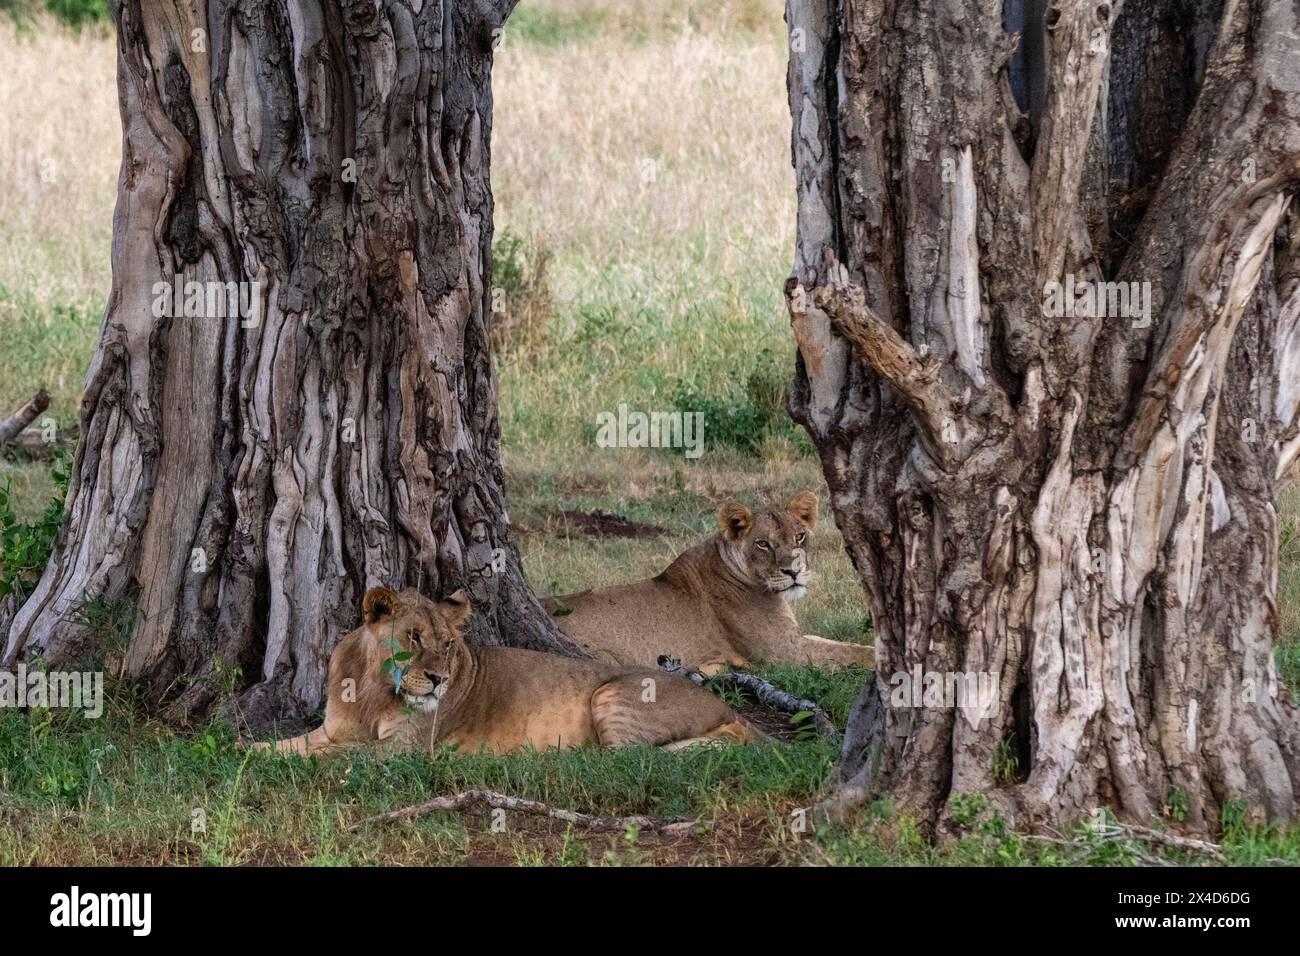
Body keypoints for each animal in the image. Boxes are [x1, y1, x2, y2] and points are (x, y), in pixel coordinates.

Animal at [253, 586, 759, 756]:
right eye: (414, 638)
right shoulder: (330, 730)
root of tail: (723, 703)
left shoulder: (401, 752)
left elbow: (330, 758)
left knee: (625, 758)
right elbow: (285, 747)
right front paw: (243, 753)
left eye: (448, 645)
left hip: (610, 696)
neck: (373, 692)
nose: (438, 680)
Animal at [545, 492, 874, 676]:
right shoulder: (783, 651)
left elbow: (840, 644)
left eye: (800, 536)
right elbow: (850, 653)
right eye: (763, 544)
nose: (794, 571)